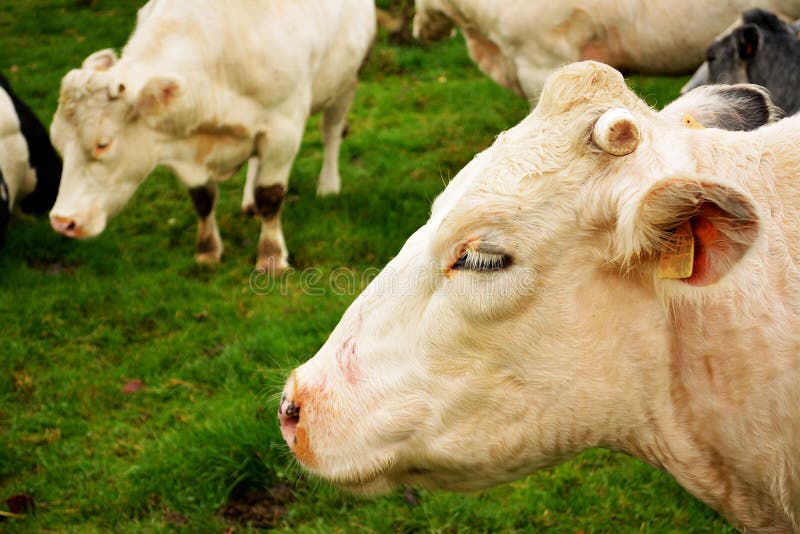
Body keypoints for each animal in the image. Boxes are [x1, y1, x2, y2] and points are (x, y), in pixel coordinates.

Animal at [49, 0, 376, 272]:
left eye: (103, 144)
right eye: (58, 144)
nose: (62, 222)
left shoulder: (283, 127)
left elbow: (270, 195)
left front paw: (271, 257)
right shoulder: (184, 148)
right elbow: (203, 197)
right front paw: (207, 250)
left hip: (346, 81)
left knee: (331, 133)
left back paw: (329, 185)